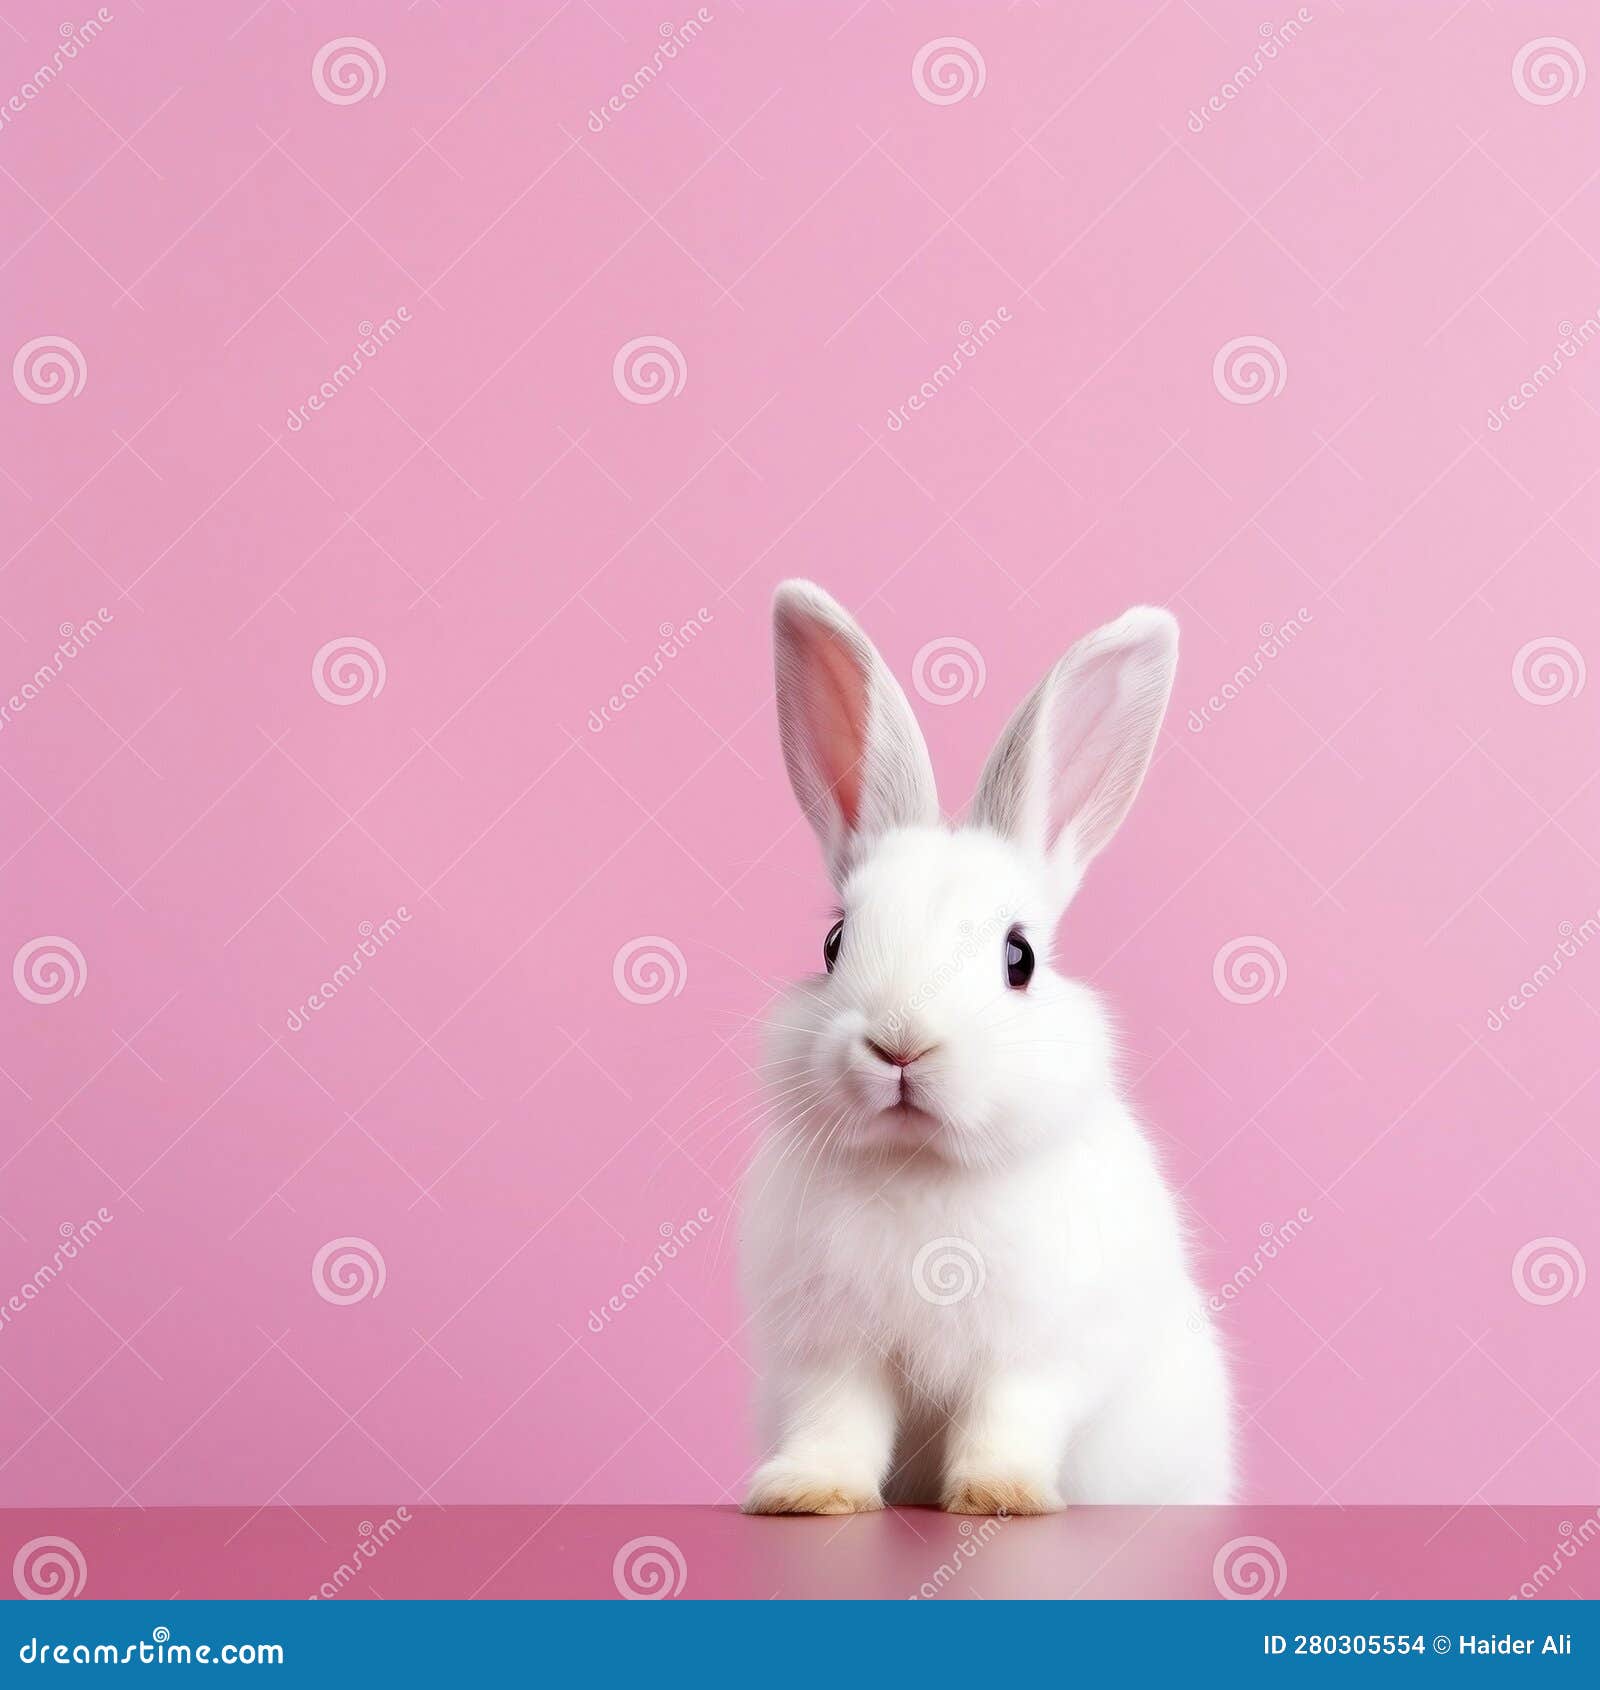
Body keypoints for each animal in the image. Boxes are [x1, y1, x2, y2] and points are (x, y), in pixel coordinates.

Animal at [739, 581, 1234, 1516]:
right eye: (833, 943)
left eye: (1020, 958)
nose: (899, 1046)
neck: (921, 1165)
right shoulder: (831, 1351)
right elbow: (836, 1423)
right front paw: (807, 1494)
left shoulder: (1038, 1352)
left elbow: (1009, 1418)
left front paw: (999, 1498)